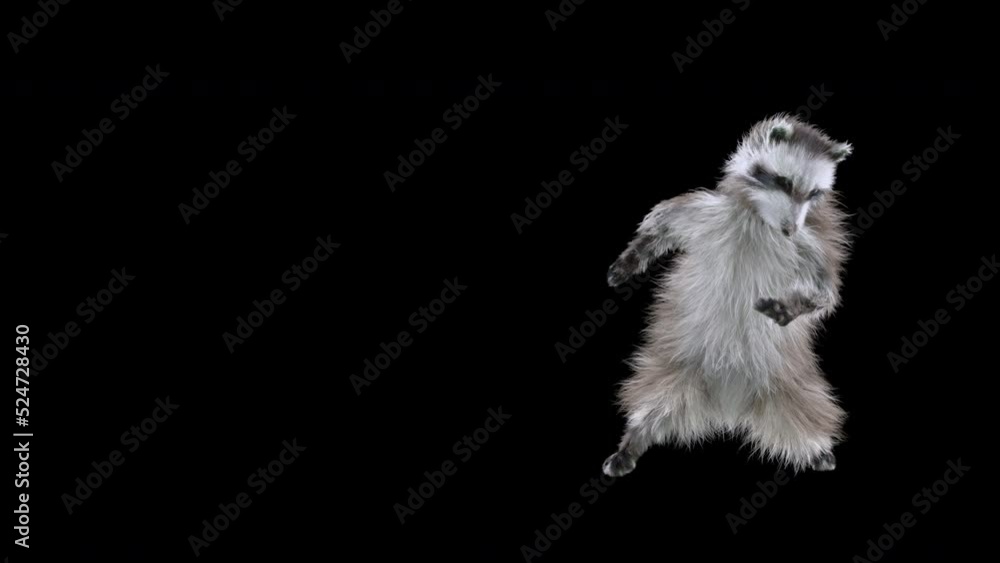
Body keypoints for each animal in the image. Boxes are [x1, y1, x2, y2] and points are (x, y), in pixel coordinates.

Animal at [603, 113, 853, 477]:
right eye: (785, 183)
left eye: (814, 193)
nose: (790, 229)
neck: (761, 218)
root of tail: (729, 406)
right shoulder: (707, 212)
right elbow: (661, 225)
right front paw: (631, 259)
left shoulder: (810, 243)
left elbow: (823, 291)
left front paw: (792, 306)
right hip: (676, 369)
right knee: (655, 400)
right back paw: (635, 438)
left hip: (789, 382)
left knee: (804, 412)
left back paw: (817, 449)